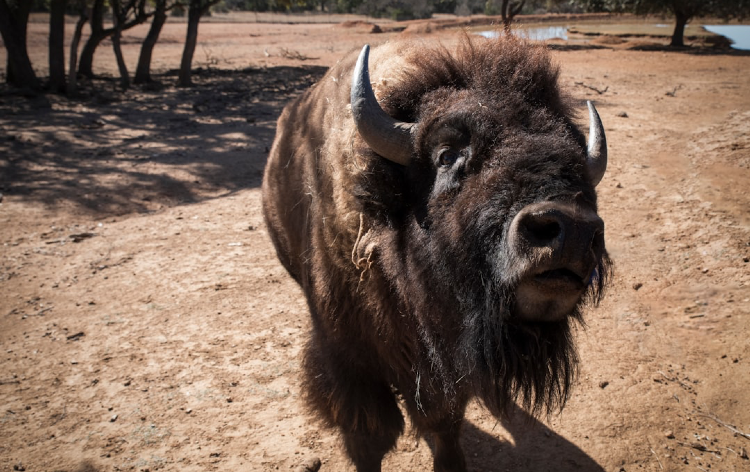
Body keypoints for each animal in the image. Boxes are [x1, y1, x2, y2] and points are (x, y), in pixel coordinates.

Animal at [262, 37, 611, 472]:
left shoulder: (442, 365)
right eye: (447, 155)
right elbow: (369, 436)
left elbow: (443, 421)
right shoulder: (348, 361)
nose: (574, 230)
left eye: (578, 164)